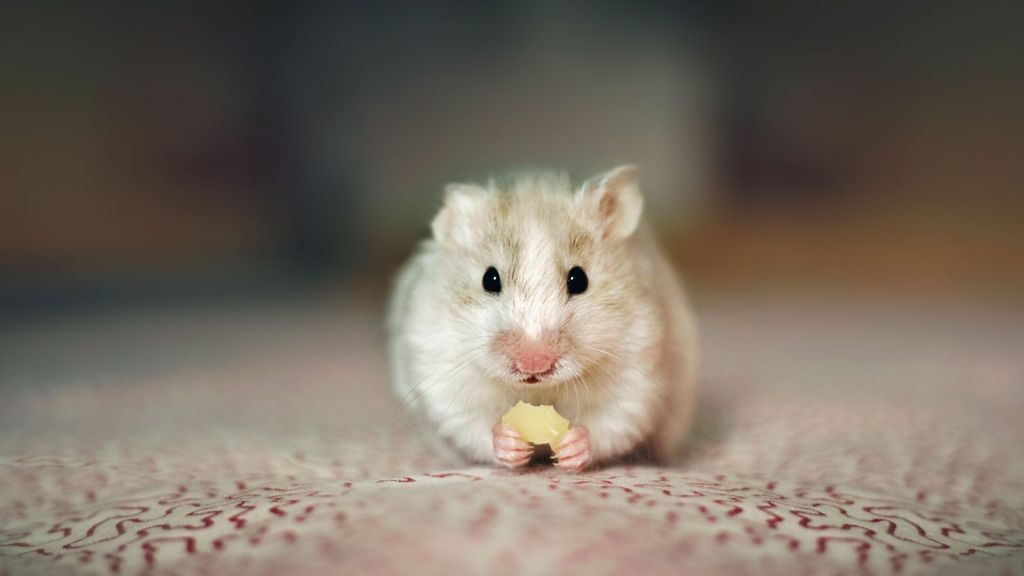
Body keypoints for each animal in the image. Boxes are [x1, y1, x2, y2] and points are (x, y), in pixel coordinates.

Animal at [388, 165, 698, 472]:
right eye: (490, 279)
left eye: (579, 279)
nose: (533, 364)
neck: (538, 391)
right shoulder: (444, 375)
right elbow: (474, 426)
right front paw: (512, 446)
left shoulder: (637, 378)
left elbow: (608, 425)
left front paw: (571, 448)